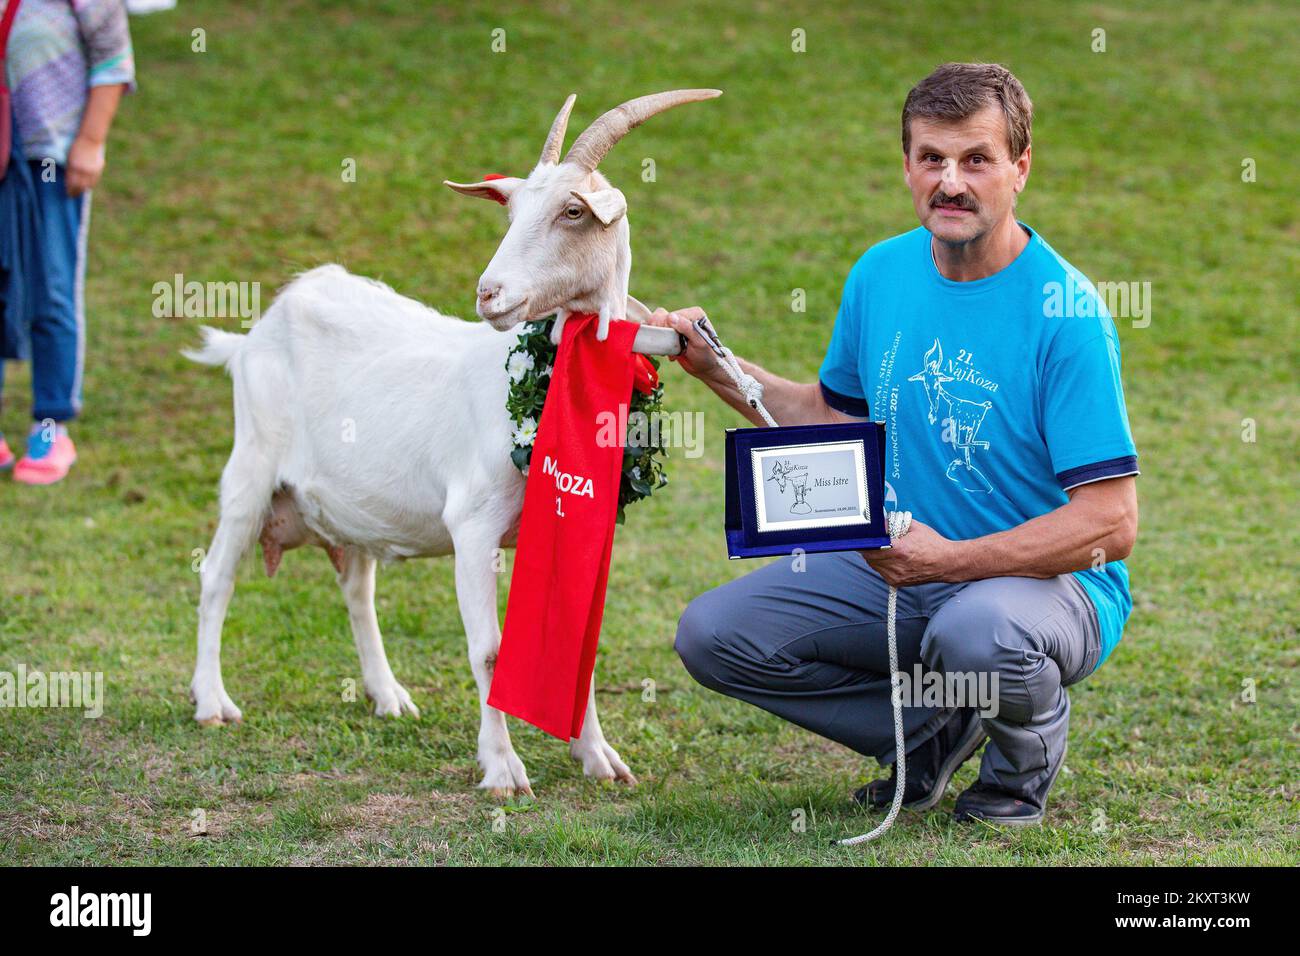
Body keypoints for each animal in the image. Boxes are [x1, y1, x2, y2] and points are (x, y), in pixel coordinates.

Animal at [185, 90, 721, 798]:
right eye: (512, 211)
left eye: (573, 211)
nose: (489, 293)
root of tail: (257, 332)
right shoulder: (473, 526)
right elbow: (489, 650)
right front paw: (503, 769)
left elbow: (579, 642)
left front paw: (600, 758)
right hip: (250, 468)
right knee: (217, 575)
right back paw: (212, 702)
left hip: (351, 506)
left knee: (356, 588)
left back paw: (387, 695)